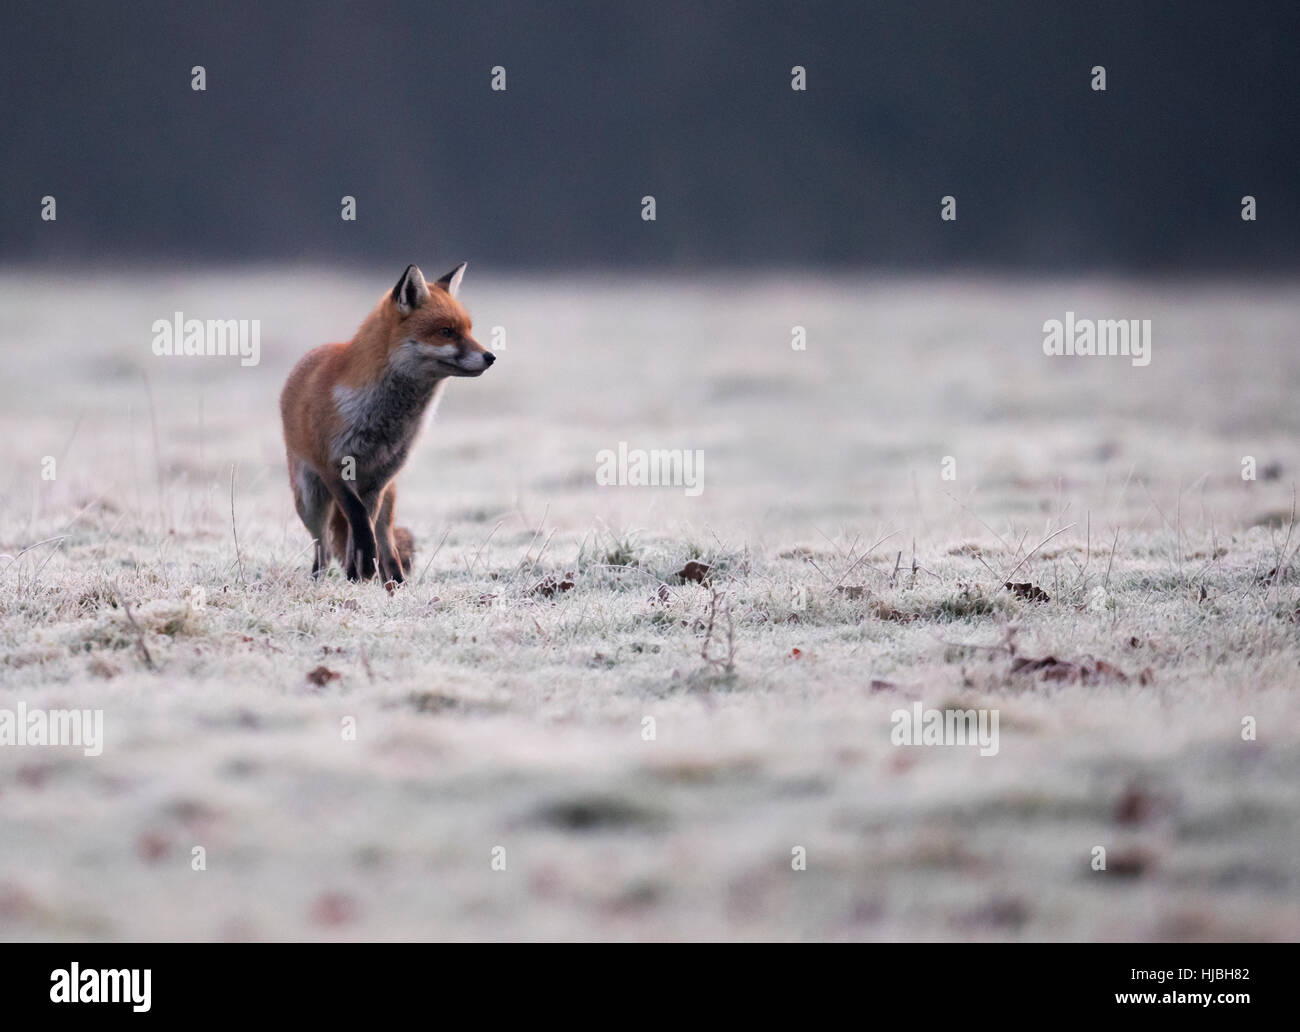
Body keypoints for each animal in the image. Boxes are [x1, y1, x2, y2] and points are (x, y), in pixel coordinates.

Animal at [280, 263, 495, 582]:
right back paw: (319, 578)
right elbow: (357, 519)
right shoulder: (334, 467)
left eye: (469, 330)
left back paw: (395, 583)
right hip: (309, 499)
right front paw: (360, 572)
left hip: (388, 499)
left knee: (387, 544)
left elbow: (364, 528)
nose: (490, 357)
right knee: (323, 547)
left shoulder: (379, 478)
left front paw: (359, 574)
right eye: (447, 332)